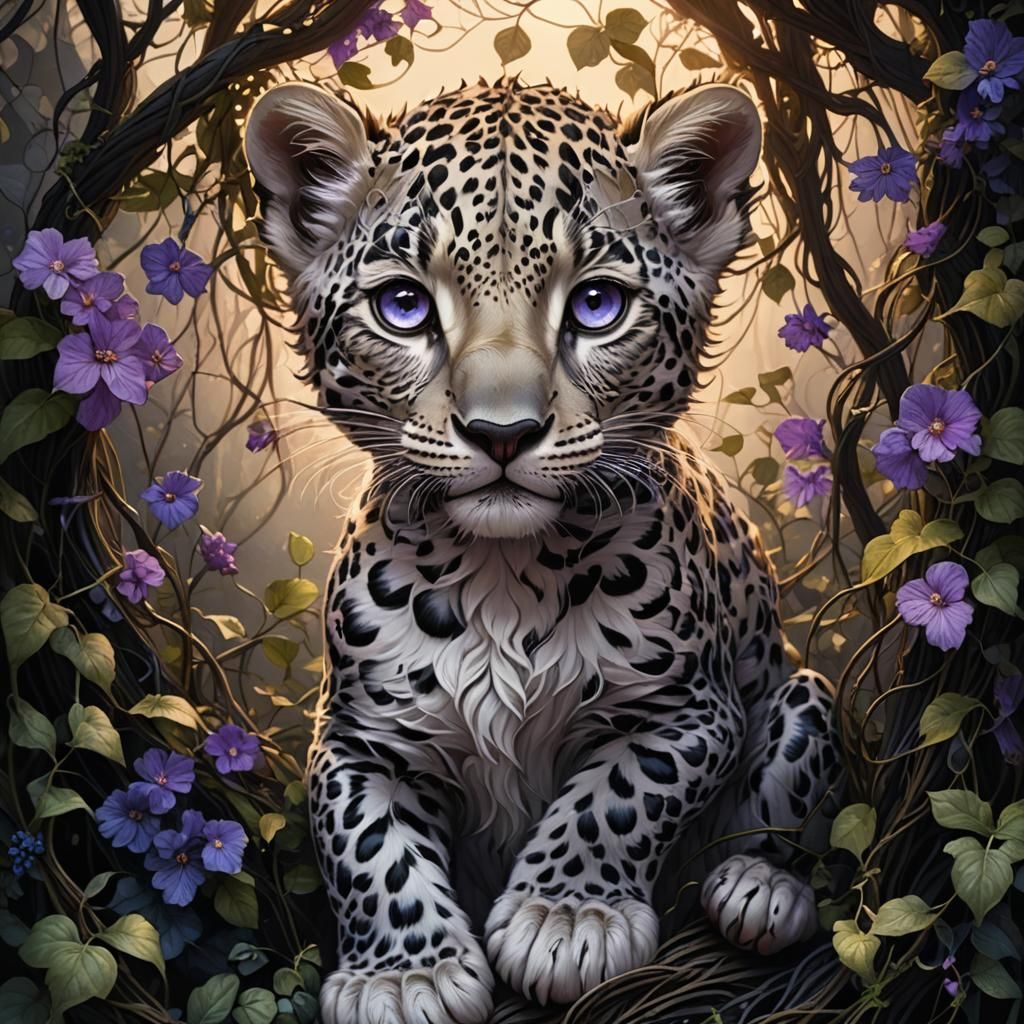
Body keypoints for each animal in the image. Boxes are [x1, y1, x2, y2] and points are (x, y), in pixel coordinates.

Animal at [245, 77, 839, 1024]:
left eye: (597, 305)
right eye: (403, 306)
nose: (501, 433)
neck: (501, 575)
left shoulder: (688, 709)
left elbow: (624, 791)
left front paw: (565, 921)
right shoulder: (358, 736)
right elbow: (365, 842)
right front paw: (405, 976)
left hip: (803, 691)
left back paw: (758, 890)